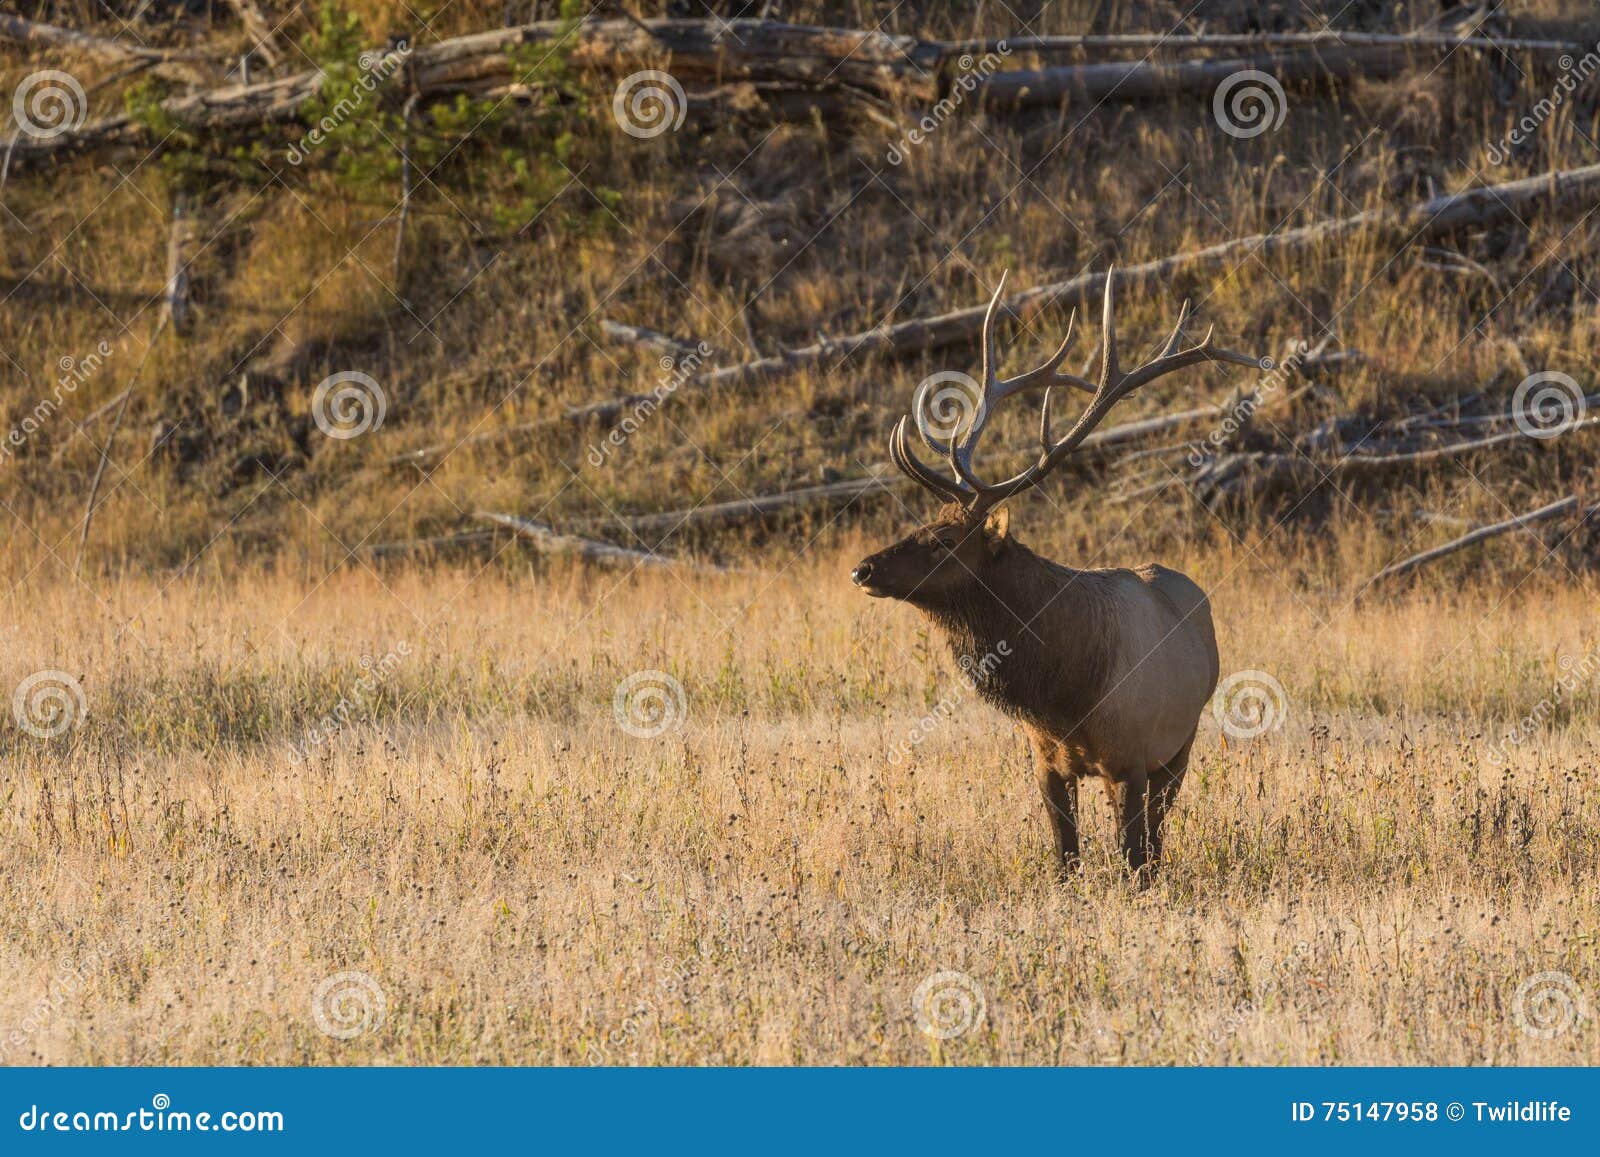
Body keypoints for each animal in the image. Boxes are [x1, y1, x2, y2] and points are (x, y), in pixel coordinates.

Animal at [851, 270, 1259, 879]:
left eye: (946, 541)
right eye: (923, 522)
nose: (863, 568)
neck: (1063, 696)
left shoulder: (1131, 758)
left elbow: (1132, 860)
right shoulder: (1045, 760)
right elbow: (1066, 858)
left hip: (1181, 745)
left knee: (1156, 839)